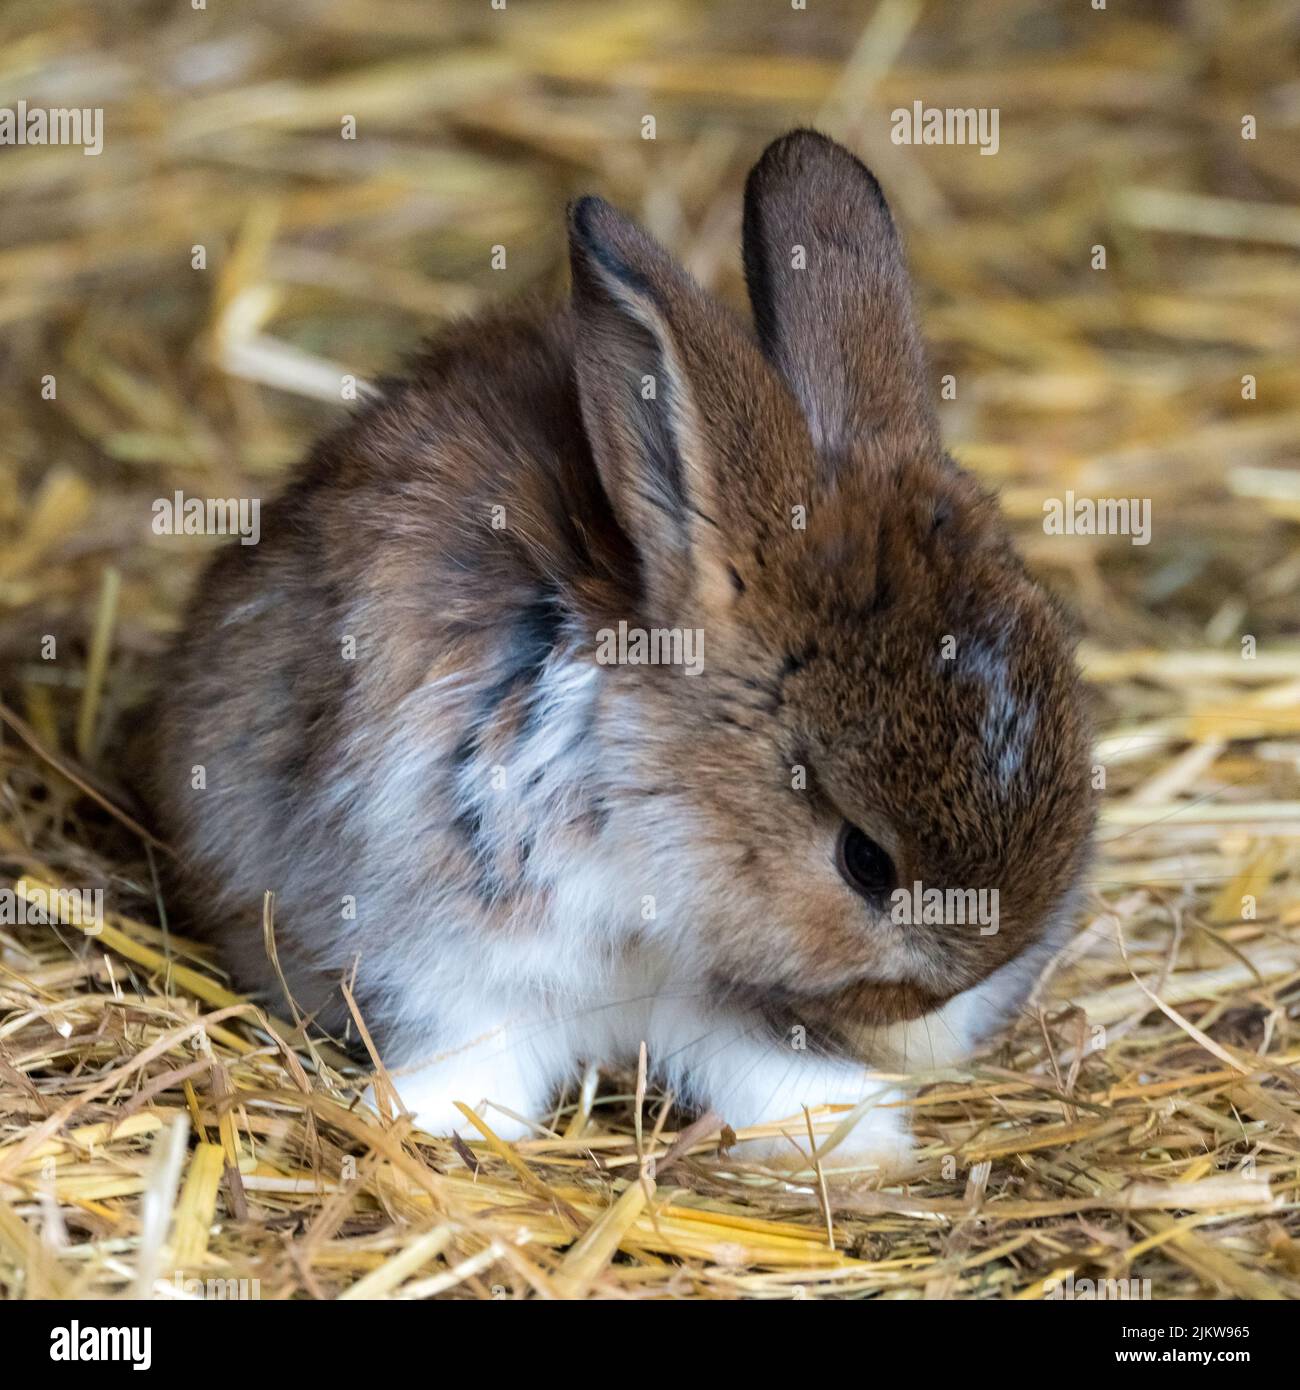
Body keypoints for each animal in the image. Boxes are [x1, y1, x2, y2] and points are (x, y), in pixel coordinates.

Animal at [149, 129, 1094, 1168]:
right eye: (865, 862)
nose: (945, 993)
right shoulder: (459, 944)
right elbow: (474, 1043)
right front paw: (444, 1124)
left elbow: (768, 1070)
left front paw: (852, 1145)